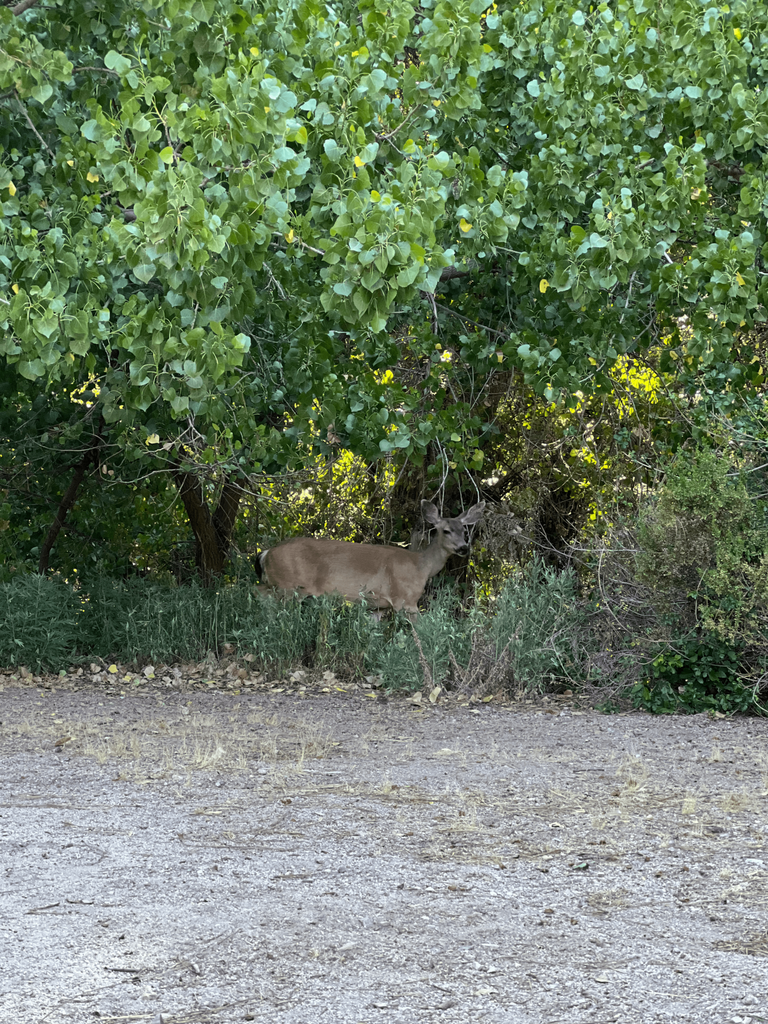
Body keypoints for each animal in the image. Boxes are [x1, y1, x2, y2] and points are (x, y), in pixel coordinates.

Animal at [259, 500, 485, 620]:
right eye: (446, 530)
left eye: (465, 531)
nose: (464, 548)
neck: (421, 567)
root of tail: (266, 553)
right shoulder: (406, 600)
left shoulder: (378, 605)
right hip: (288, 586)